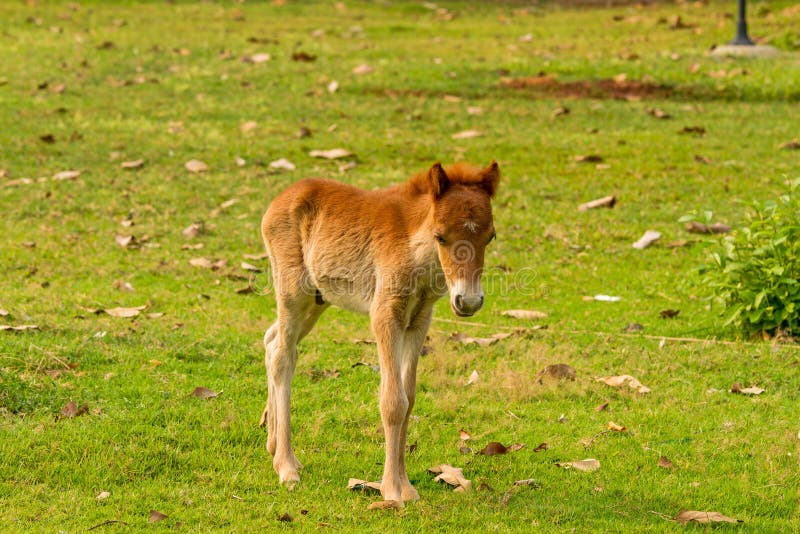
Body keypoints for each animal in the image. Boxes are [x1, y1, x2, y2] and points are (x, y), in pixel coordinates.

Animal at [259, 161, 500, 505]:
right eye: (440, 236)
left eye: (490, 237)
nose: (468, 301)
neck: (417, 252)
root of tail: (279, 200)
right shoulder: (385, 315)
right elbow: (393, 401)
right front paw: (392, 490)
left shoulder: (418, 321)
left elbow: (409, 399)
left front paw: (407, 487)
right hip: (293, 292)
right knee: (282, 355)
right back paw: (287, 466)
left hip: (317, 301)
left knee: (272, 340)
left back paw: (273, 446)